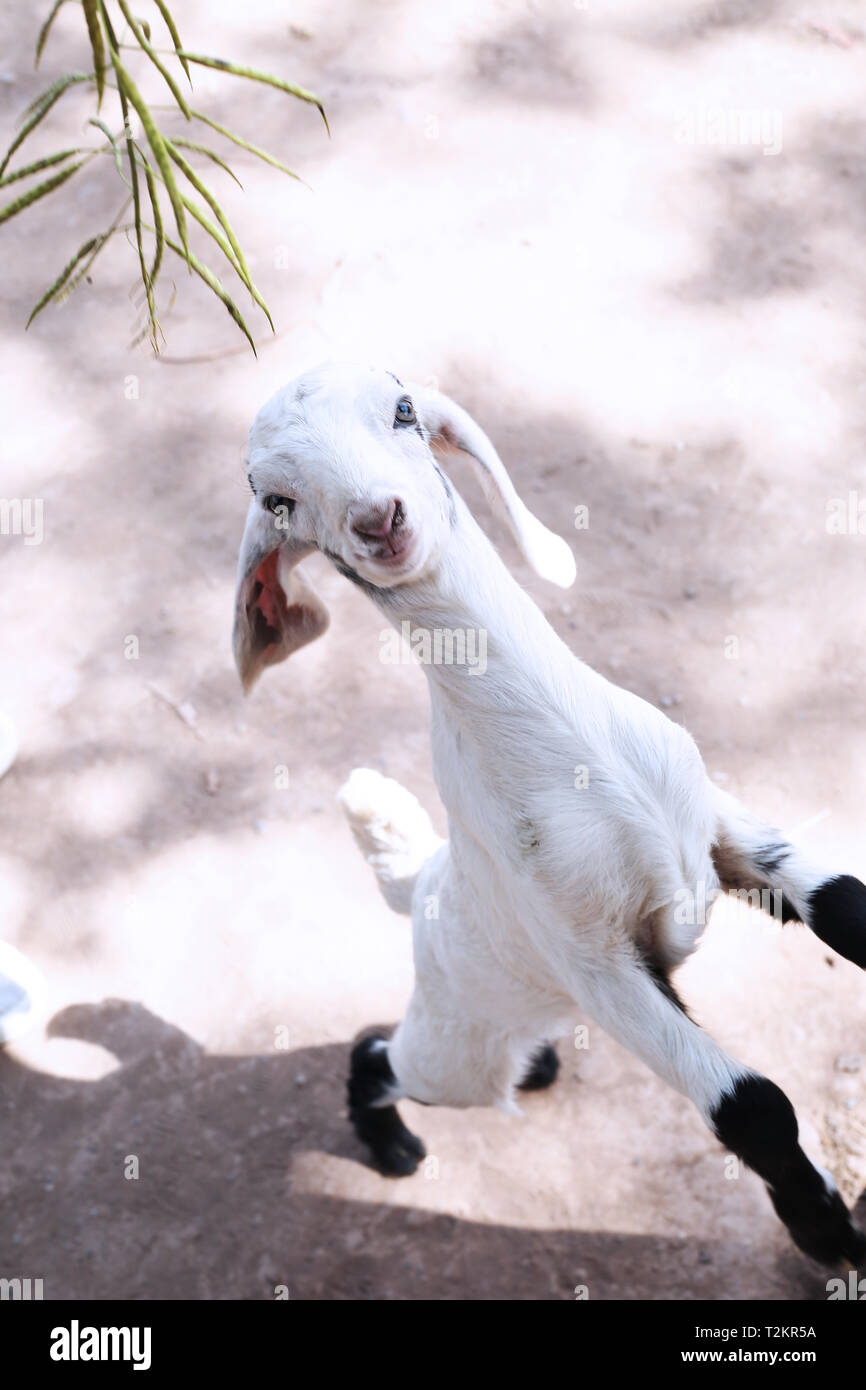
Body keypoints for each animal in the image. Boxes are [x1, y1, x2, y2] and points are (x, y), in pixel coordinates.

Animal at [233, 362, 866, 1267]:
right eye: (275, 497)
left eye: (403, 409)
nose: (379, 519)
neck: (580, 751)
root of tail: (422, 882)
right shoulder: (595, 963)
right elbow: (754, 1107)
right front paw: (827, 1230)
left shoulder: (716, 829)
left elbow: (846, 905)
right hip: (457, 1054)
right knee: (379, 1054)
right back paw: (391, 1146)